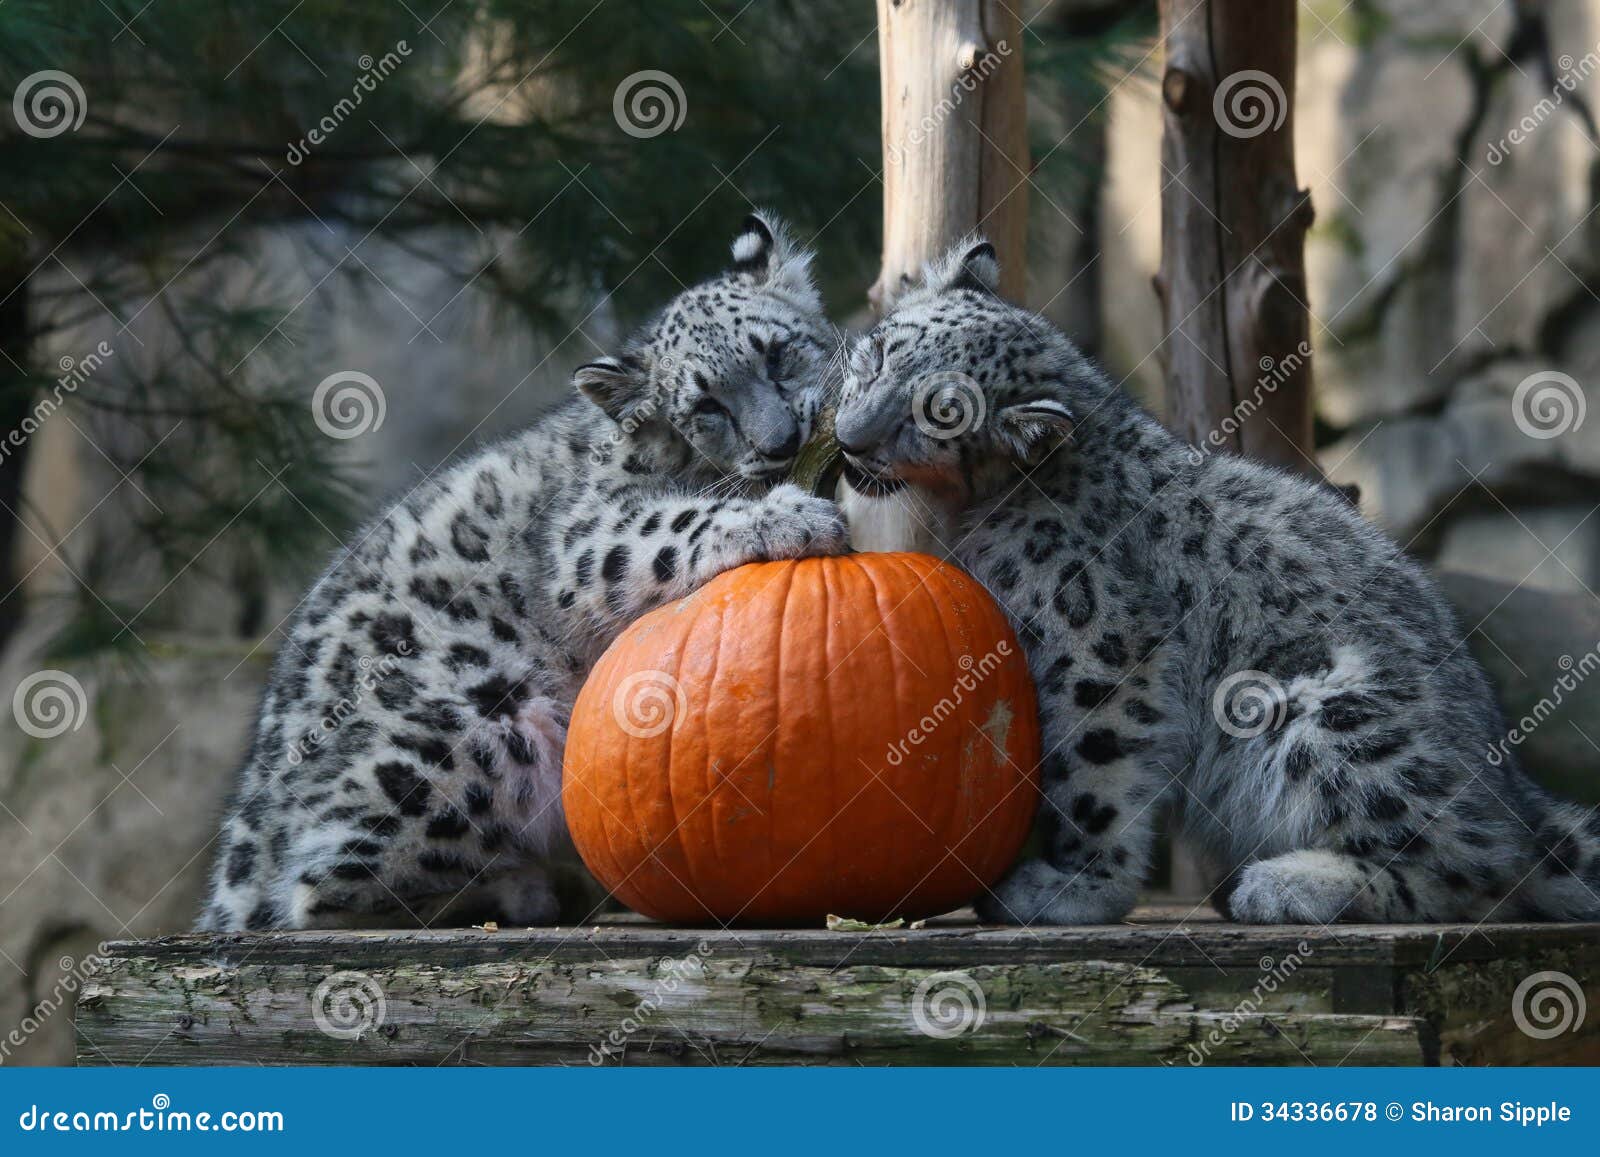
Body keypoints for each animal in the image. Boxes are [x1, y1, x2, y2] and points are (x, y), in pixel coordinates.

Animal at [198, 212, 848, 931]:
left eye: (776, 353)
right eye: (707, 405)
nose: (783, 443)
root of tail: (239, 856)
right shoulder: (583, 534)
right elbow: (670, 525)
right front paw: (790, 515)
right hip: (474, 731)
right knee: (323, 890)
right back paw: (535, 887)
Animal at [831, 236, 1600, 926]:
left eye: (941, 413)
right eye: (880, 354)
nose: (849, 437)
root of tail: (1509, 789)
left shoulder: (1097, 650)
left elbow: (1096, 768)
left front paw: (1074, 888)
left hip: (1333, 721)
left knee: (1476, 867)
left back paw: (1289, 884)